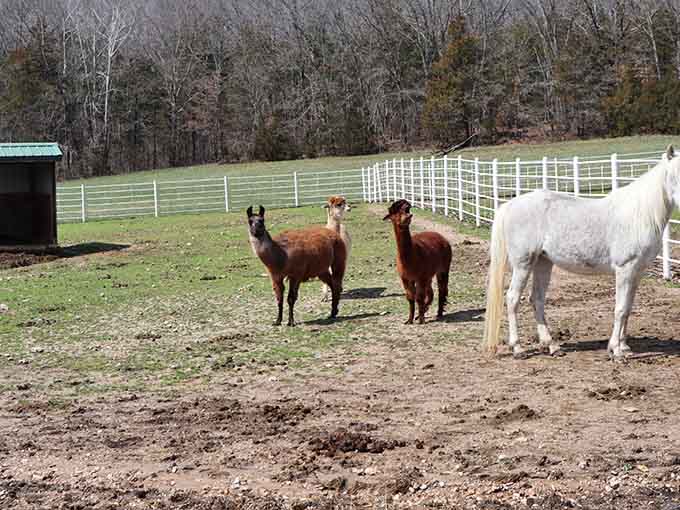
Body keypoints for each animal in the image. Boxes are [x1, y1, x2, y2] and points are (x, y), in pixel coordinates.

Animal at [483, 145, 680, 359]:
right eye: (675, 174)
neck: (639, 215)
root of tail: (509, 205)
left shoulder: (637, 272)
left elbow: (628, 308)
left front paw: (624, 346)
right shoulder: (625, 270)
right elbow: (620, 309)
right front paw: (616, 351)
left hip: (543, 262)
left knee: (537, 299)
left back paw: (552, 345)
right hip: (523, 264)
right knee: (512, 299)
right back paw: (517, 348)